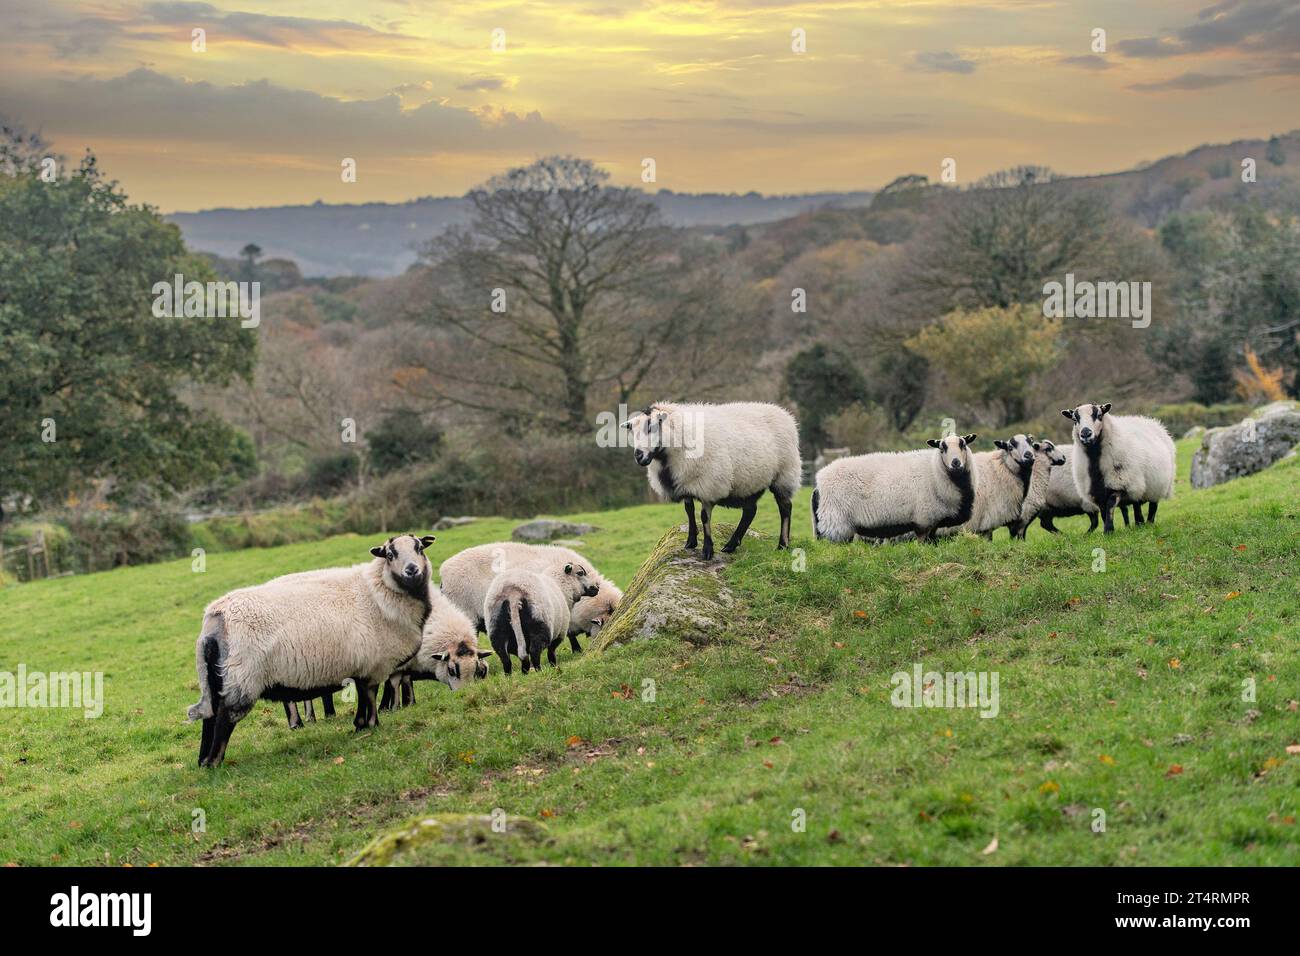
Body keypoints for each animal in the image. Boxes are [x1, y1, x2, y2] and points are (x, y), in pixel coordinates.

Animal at [187, 534, 436, 767]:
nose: (412, 570)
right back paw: (215, 762)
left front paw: (360, 726)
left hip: (217, 677)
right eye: (390, 555)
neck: (378, 593)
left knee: (210, 716)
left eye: (419, 548)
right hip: (243, 678)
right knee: (225, 717)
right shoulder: (374, 665)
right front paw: (373, 725)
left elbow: (364, 697)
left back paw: (203, 761)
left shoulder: (362, 668)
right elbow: (371, 697)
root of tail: (215, 616)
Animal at [624, 401, 801, 560]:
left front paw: (707, 550)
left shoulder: (708, 484)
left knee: (785, 508)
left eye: (651, 427)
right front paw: (691, 542)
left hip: (784, 474)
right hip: (748, 482)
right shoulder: (686, 484)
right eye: (632, 432)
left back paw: (782, 545)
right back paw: (731, 545)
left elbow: (704, 517)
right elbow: (689, 511)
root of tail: (785, 413)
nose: (638, 456)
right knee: (750, 511)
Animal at [812, 434, 979, 543]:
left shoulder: (933, 523)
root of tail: (819, 483)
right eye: (942, 448)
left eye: (963, 445)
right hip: (837, 525)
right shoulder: (923, 521)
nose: (956, 463)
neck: (935, 470)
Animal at [1062, 402, 1176, 533]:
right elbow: (1103, 512)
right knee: (1137, 504)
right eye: (1075, 419)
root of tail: (1150, 421)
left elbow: (1110, 506)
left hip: (1154, 486)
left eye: (1099, 415)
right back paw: (1140, 523)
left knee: (1152, 506)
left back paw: (1148, 523)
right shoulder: (1097, 493)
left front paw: (1108, 530)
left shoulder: (1119, 483)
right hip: (1137, 486)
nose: (1085, 434)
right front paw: (1109, 529)